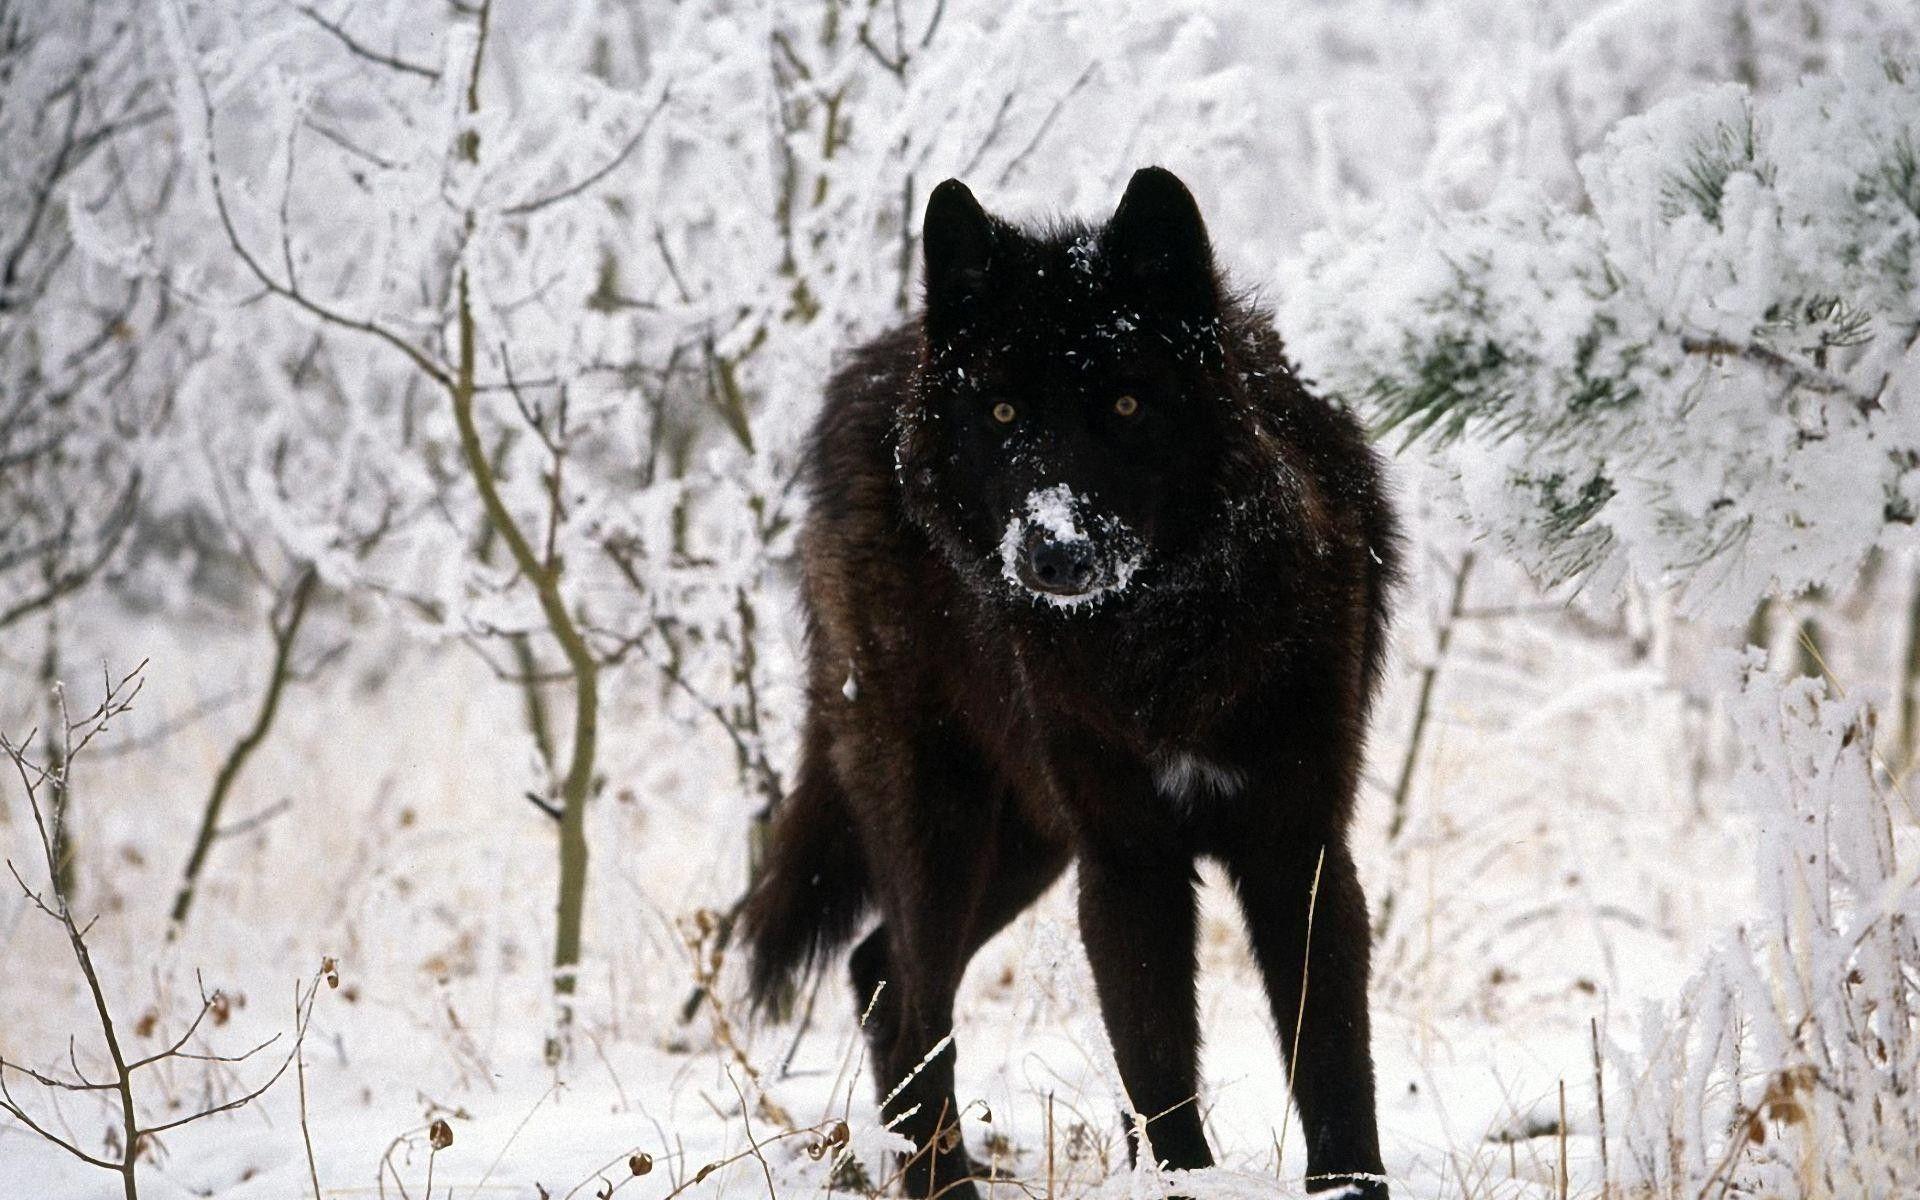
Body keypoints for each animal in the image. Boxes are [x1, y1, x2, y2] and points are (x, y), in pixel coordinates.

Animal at [740, 167, 1400, 1200]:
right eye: (1004, 415)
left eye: (1127, 407)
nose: (1054, 551)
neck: (1164, 644)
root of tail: (874, 367)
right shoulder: (1126, 862)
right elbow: (1158, 1078)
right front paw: (1179, 1183)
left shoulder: (1297, 848)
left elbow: (1334, 1068)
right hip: (944, 825)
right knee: (911, 999)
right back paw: (946, 1188)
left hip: (1026, 843)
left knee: (877, 973)